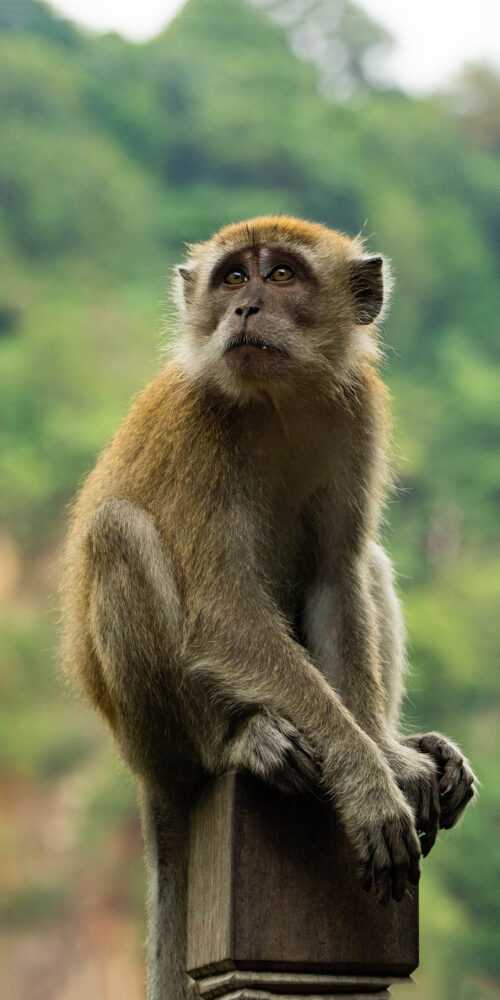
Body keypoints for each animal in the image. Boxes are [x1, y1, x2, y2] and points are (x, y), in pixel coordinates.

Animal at [60, 215, 476, 1000]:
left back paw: (408, 744)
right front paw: (367, 781)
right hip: (153, 734)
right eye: (231, 277)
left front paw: (383, 754)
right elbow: (221, 613)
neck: (278, 398)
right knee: (118, 534)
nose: (244, 308)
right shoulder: (201, 428)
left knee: (368, 560)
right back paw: (238, 740)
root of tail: (143, 766)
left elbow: (338, 576)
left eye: (280, 275)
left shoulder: (357, 411)